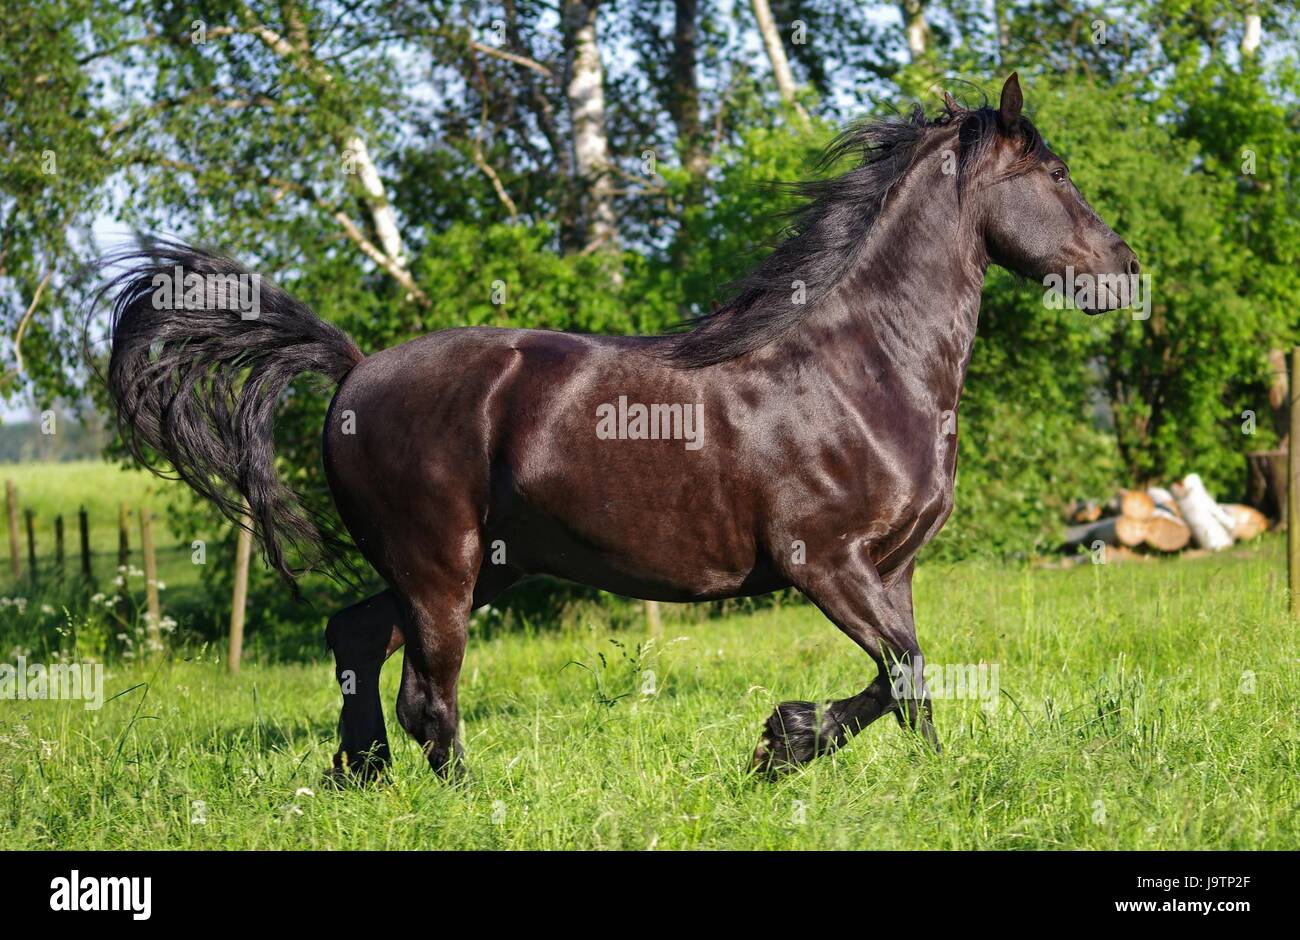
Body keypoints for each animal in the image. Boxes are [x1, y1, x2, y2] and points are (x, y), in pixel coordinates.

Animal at [101, 74, 1138, 780]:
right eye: (1055, 173)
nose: (1124, 272)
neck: (863, 370)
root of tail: (354, 369)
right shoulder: (826, 564)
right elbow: (905, 670)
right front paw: (785, 741)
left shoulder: (893, 570)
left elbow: (910, 679)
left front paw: (870, 763)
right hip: (441, 570)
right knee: (429, 697)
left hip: (471, 569)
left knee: (356, 639)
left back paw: (362, 775)